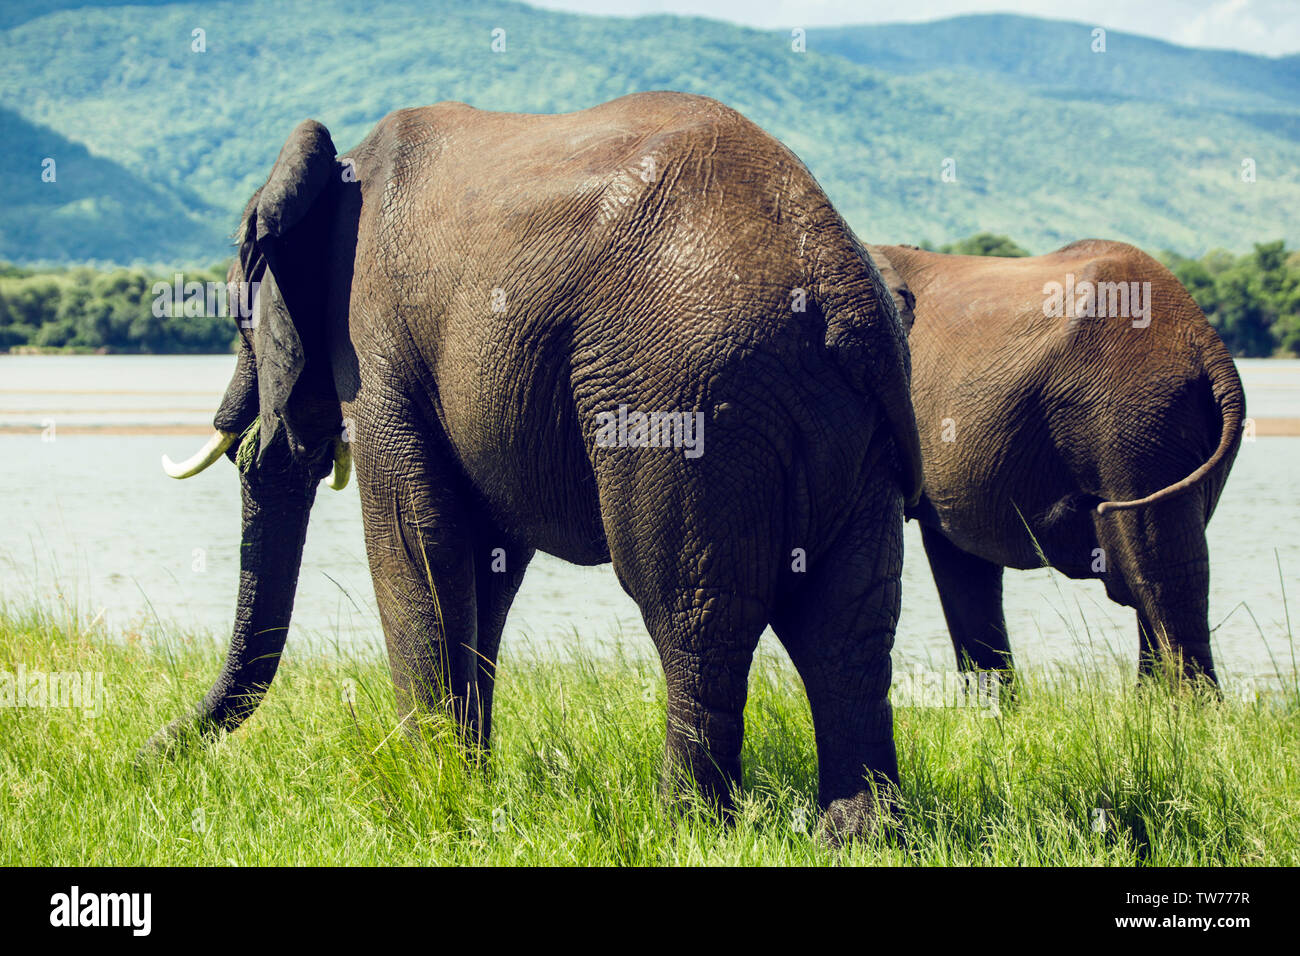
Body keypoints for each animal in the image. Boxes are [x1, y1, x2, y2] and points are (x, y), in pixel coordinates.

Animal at [144, 92, 924, 840]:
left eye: (238, 313)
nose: (144, 755)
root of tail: (840, 293)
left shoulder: (376, 333)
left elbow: (412, 536)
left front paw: (428, 793)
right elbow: (483, 563)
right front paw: (468, 784)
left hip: (687, 399)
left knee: (692, 609)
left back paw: (688, 828)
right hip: (850, 422)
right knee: (847, 627)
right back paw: (861, 838)